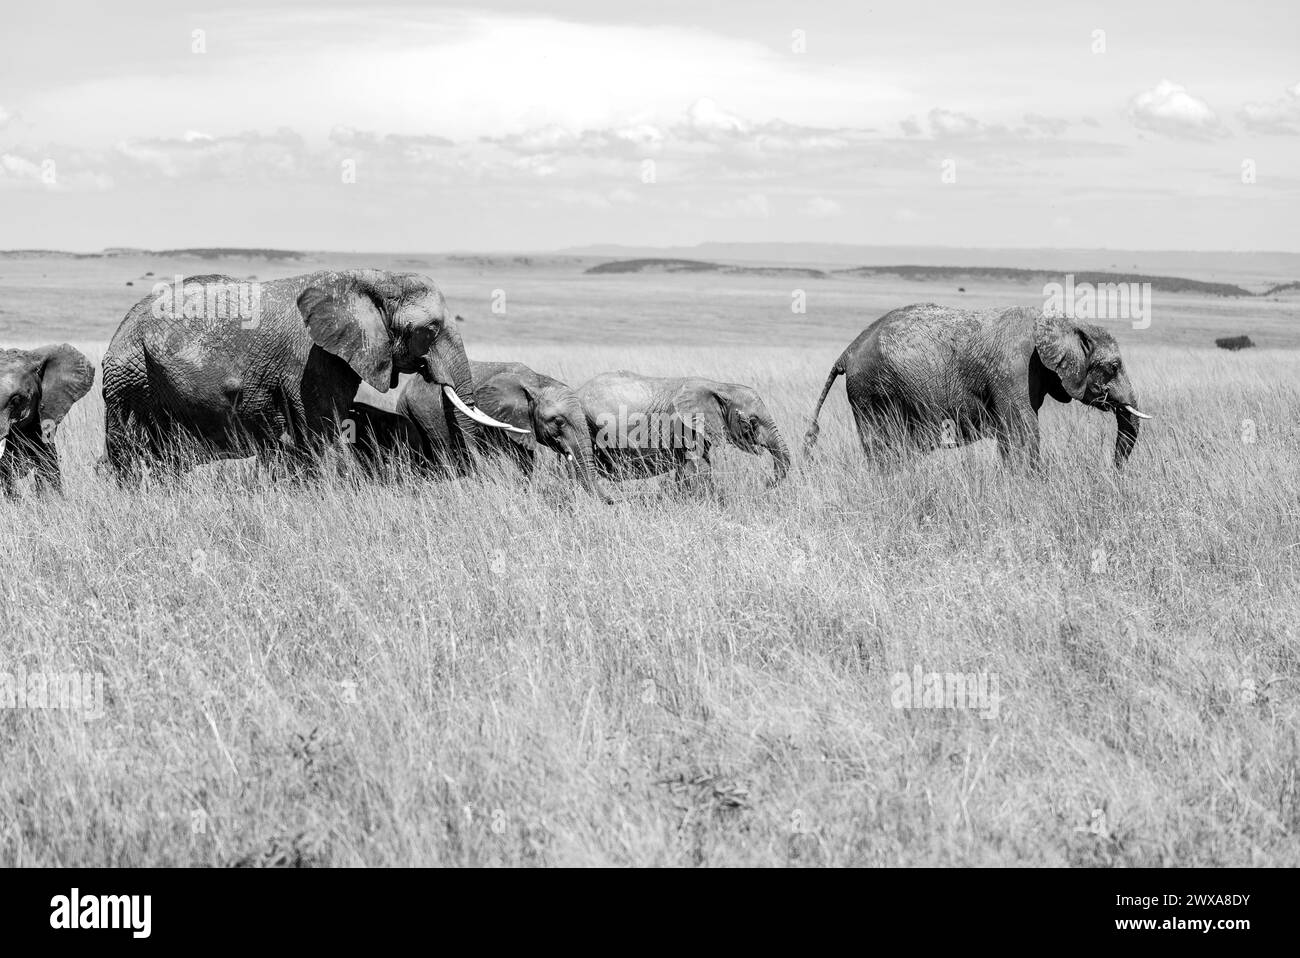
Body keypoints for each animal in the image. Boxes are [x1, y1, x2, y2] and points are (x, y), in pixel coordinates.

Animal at [100, 269, 519, 481]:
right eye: (429, 331)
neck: (370, 280)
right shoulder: (310, 361)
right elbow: (319, 434)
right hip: (130, 378)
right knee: (130, 452)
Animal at [348, 360, 609, 501]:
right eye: (558, 421)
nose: (611, 502)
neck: (536, 381)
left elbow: (526, 460)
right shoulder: (493, 417)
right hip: (424, 415)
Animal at [803, 304, 1151, 468]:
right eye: (1113, 367)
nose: (1111, 473)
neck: (1061, 320)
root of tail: (847, 351)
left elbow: (1012, 437)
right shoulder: (1012, 371)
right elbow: (1024, 431)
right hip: (874, 390)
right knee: (886, 447)